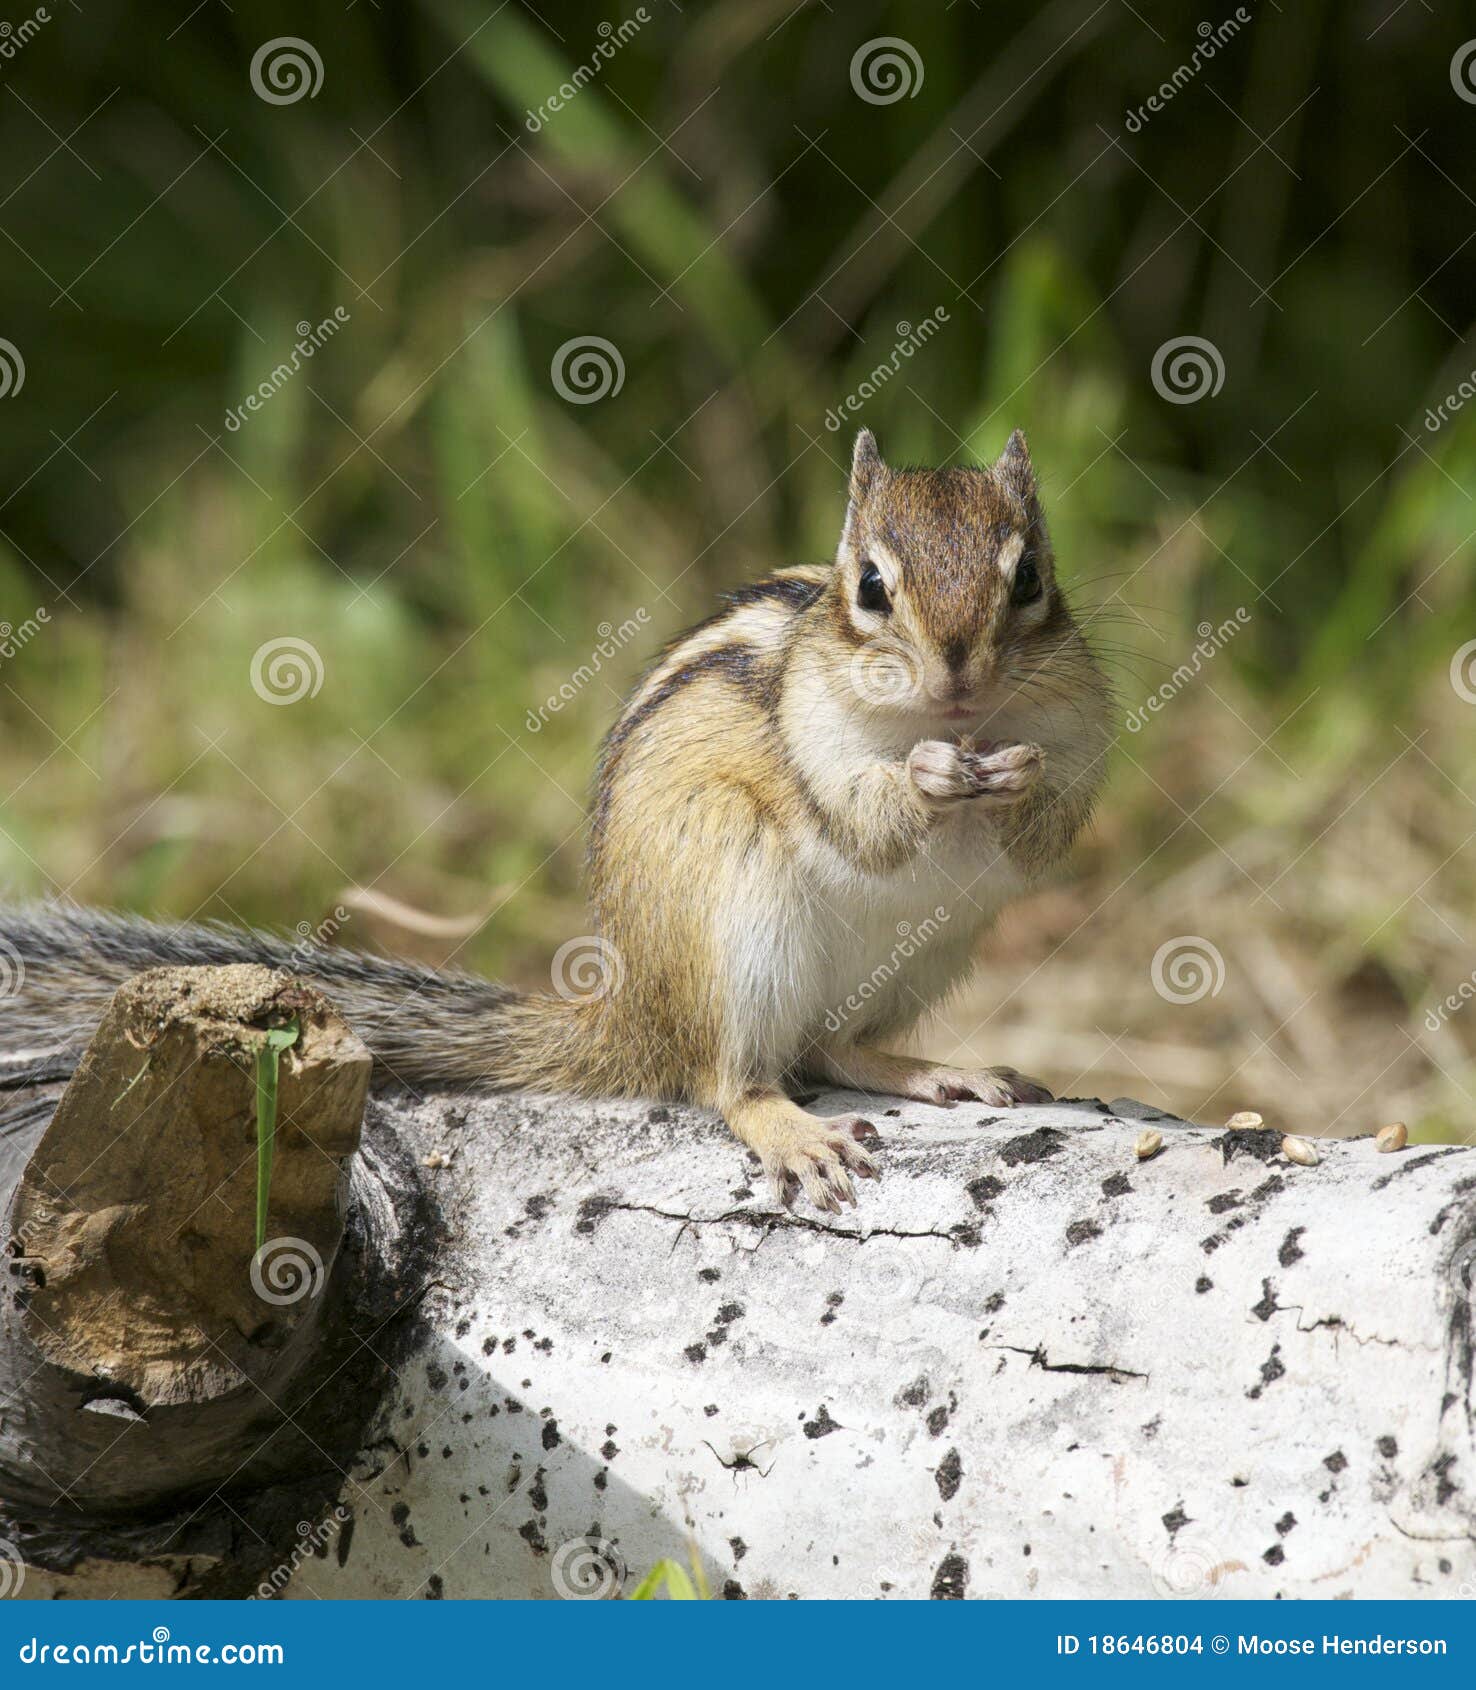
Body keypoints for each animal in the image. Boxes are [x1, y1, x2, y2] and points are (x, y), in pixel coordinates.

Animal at [2, 429, 1111, 1214]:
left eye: (1029, 577)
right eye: (872, 588)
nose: (960, 681)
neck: (951, 722)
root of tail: (634, 1017)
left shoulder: (1082, 730)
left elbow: (1052, 824)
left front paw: (1019, 778)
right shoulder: (812, 743)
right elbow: (861, 817)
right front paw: (926, 775)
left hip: (929, 951)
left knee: (835, 1047)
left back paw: (933, 1068)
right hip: (734, 910)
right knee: (733, 1078)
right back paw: (789, 1126)